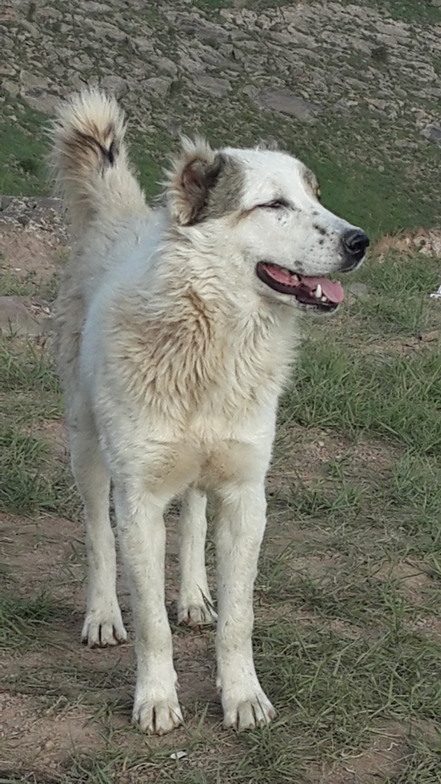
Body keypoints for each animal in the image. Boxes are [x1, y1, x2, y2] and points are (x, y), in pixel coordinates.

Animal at [49, 90, 368, 736]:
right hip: (87, 447)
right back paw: (102, 614)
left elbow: (239, 618)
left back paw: (195, 595)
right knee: (96, 535)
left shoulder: (247, 495)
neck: (212, 337)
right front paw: (155, 699)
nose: (360, 241)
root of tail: (125, 218)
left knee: (194, 513)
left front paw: (242, 696)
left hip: (203, 466)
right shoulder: (138, 501)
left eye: (316, 197)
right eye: (274, 204)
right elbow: (150, 621)